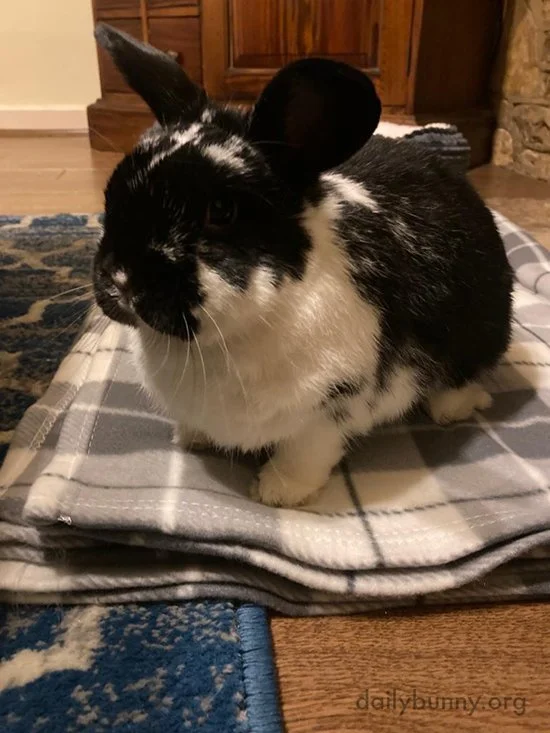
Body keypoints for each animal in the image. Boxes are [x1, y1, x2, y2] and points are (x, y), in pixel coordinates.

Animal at [93, 24, 513, 507]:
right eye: (112, 192)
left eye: (221, 212)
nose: (122, 280)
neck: (225, 337)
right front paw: (193, 439)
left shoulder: (329, 409)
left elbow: (305, 453)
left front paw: (277, 493)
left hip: (481, 331)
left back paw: (449, 409)